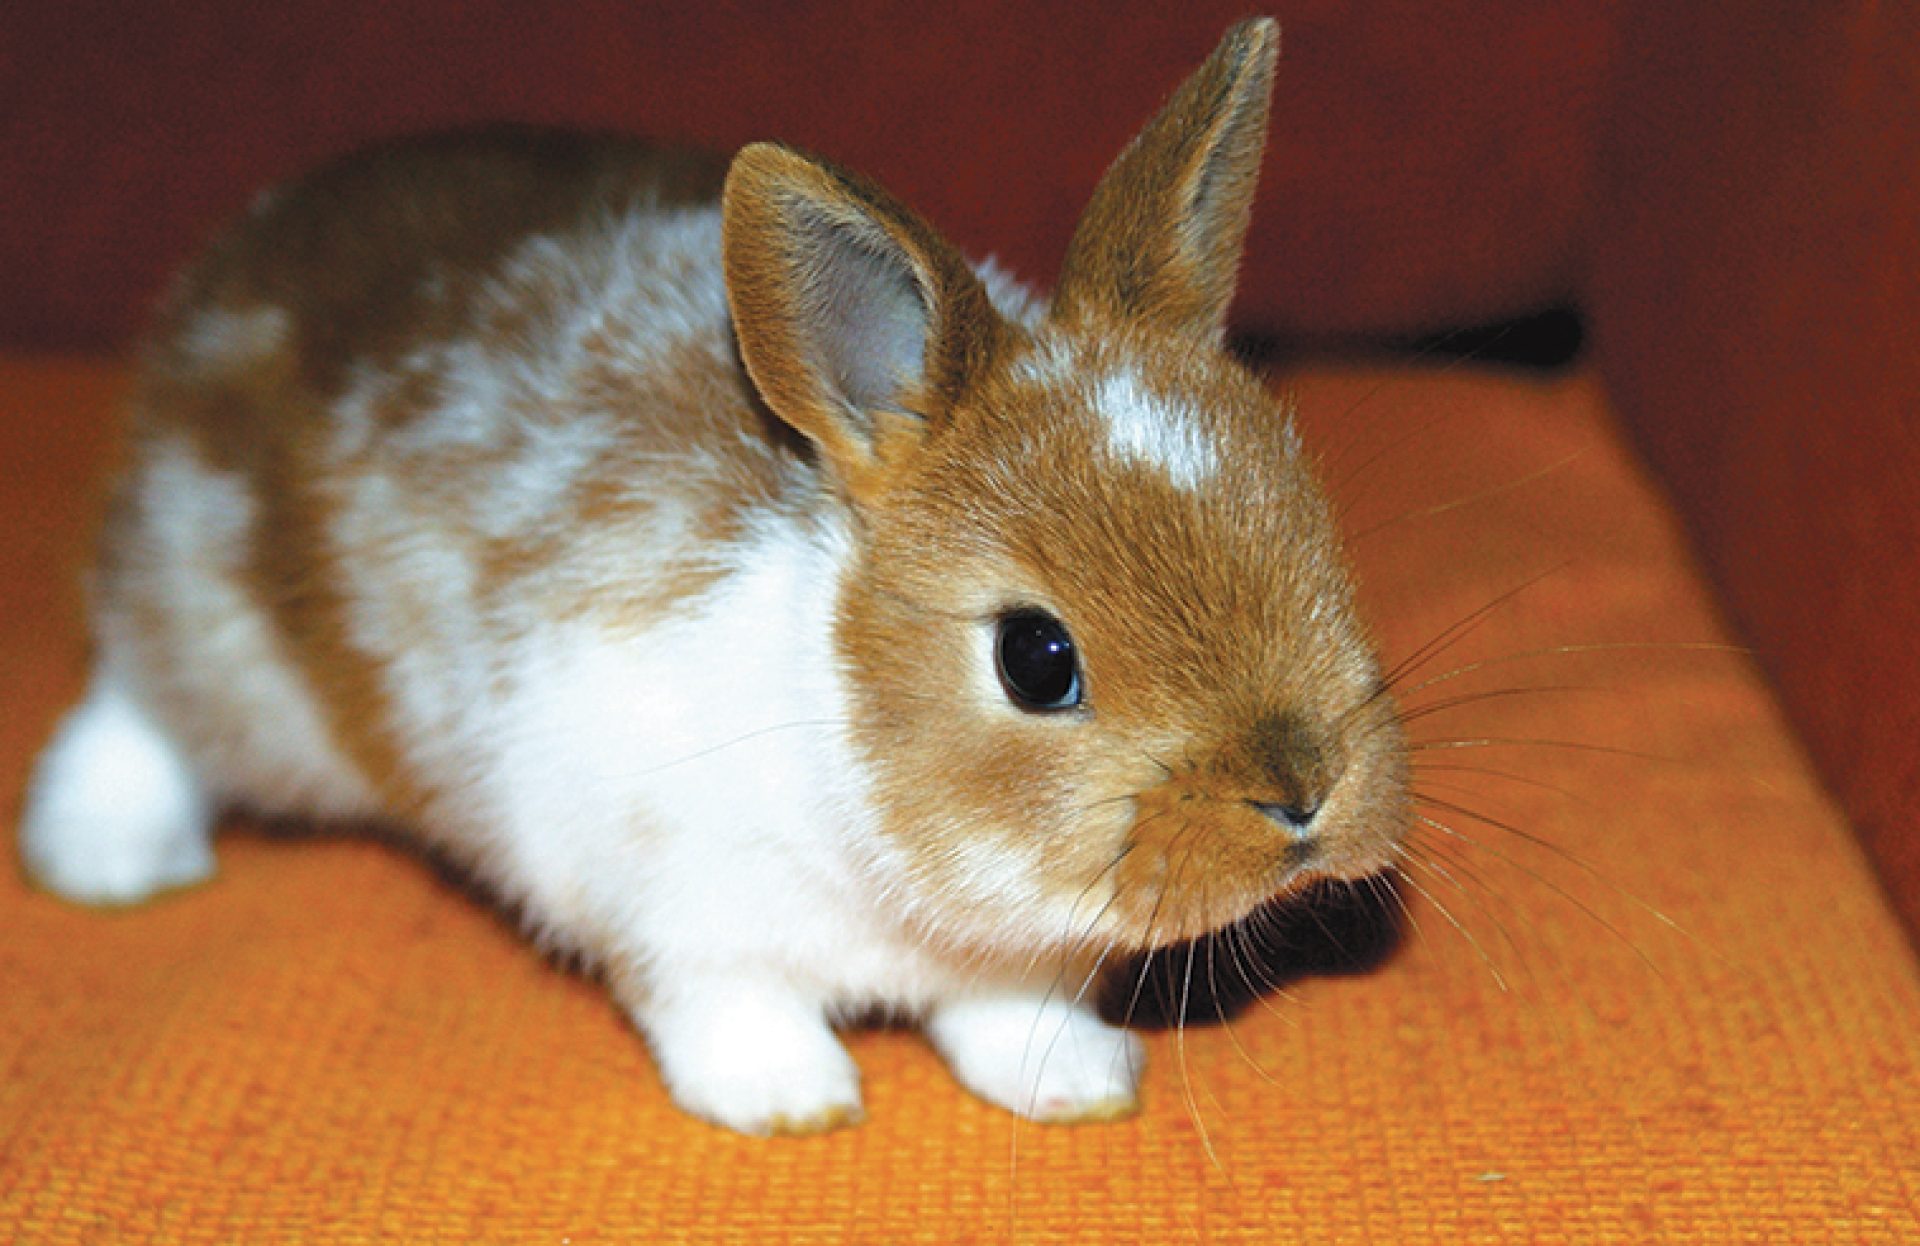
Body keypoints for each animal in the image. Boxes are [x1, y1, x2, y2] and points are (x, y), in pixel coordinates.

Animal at [20, 17, 1408, 1135]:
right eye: (1036, 658)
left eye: (1310, 526)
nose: (1304, 793)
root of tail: (248, 246)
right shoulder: (661, 897)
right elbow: (719, 1002)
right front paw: (789, 1100)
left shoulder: (998, 961)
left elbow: (1008, 1012)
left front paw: (1077, 1085)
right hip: (221, 637)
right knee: (136, 704)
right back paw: (108, 859)